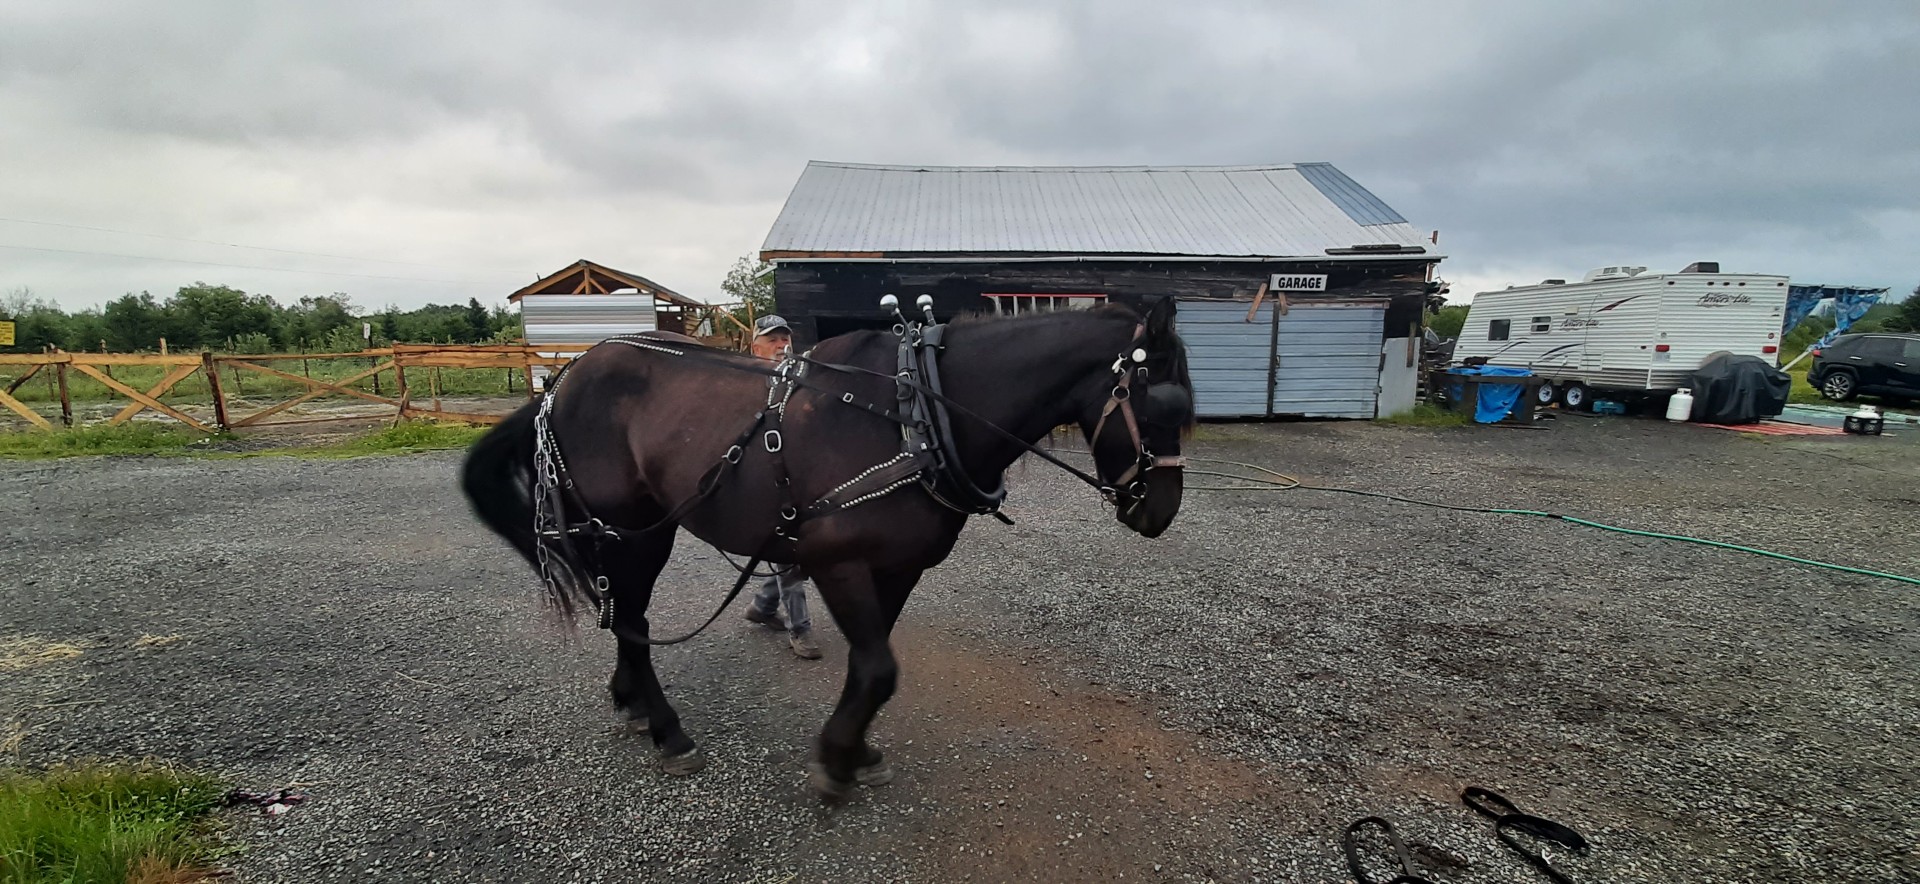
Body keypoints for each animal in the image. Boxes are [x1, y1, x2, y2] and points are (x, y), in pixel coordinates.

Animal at [459, 296, 1195, 799]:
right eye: (1164, 405)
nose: (1159, 513)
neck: (917, 417)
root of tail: (566, 379)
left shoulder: (897, 568)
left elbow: (871, 666)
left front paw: (855, 748)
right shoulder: (836, 561)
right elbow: (879, 670)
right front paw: (836, 759)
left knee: (625, 618)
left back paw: (633, 702)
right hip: (634, 528)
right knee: (632, 619)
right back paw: (669, 731)